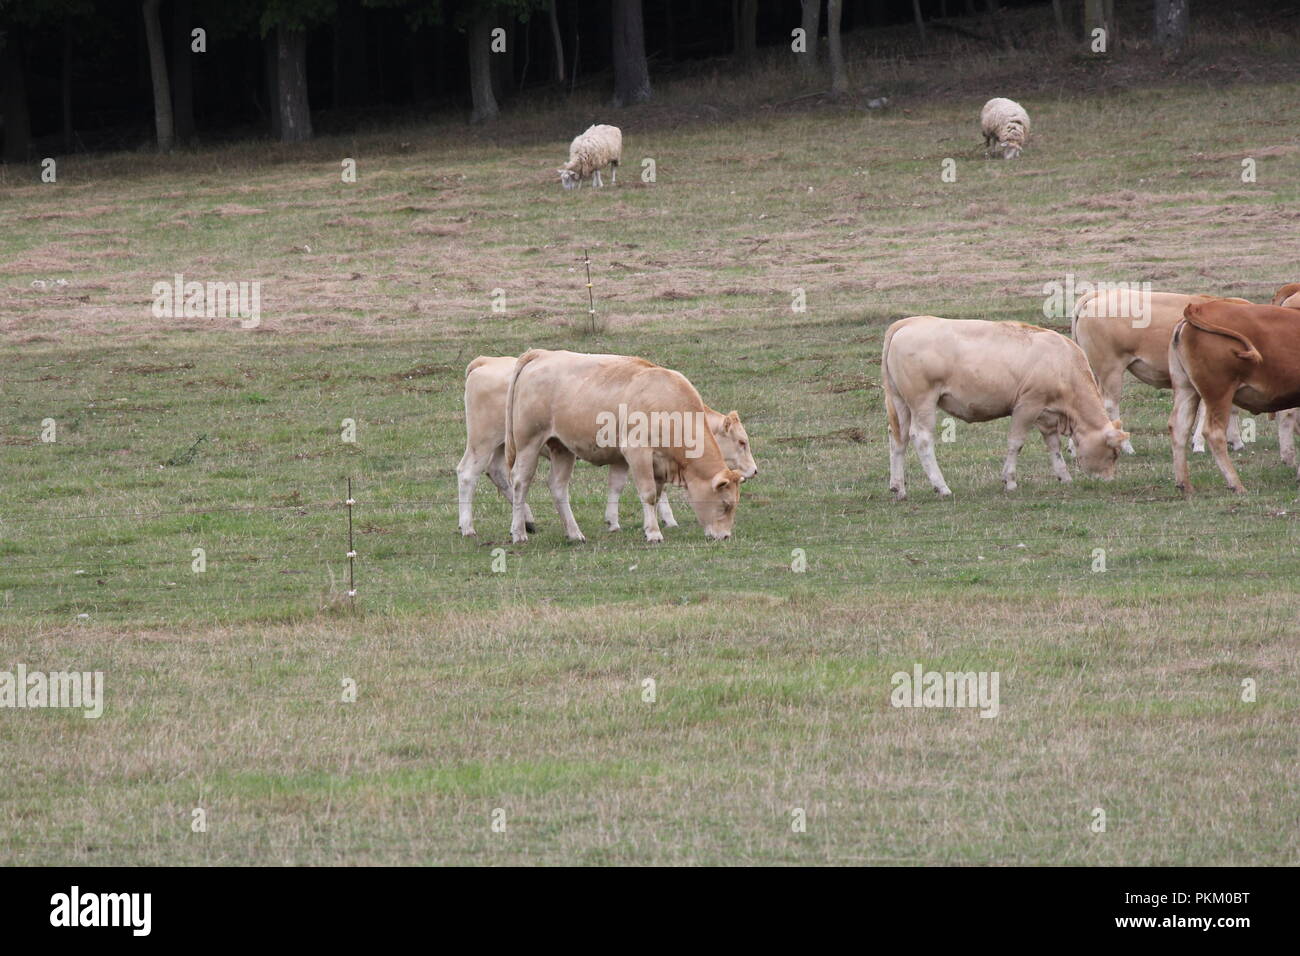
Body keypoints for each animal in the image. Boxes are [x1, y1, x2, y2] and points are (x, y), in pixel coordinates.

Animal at [456, 355, 757, 537]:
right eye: (726, 504)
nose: (724, 536)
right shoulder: (637, 453)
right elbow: (649, 493)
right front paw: (655, 531)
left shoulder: (639, 460)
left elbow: (627, 487)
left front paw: (616, 522)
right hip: (502, 443)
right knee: (496, 477)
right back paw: (496, 529)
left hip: (556, 447)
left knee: (545, 484)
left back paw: (569, 532)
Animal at [883, 316, 1129, 498]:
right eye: (1113, 453)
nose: (1108, 481)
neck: (1062, 364)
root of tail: (907, 323)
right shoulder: (1028, 405)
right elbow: (1016, 443)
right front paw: (1009, 481)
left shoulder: (1047, 414)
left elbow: (1053, 445)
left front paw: (1064, 477)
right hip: (923, 401)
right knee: (921, 438)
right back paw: (941, 486)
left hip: (900, 402)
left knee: (898, 439)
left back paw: (898, 487)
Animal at [1071, 289, 1253, 455]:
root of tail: (1100, 294)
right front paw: (1202, 444)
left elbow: (1230, 408)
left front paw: (1235, 441)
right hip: (1111, 370)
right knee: (1110, 406)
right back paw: (1126, 447)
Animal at [1169, 299, 1300, 494]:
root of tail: (1199, 307)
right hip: (1219, 393)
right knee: (1213, 433)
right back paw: (1236, 484)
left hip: (1186, 388)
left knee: (1179, 427)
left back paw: (1184, 484)